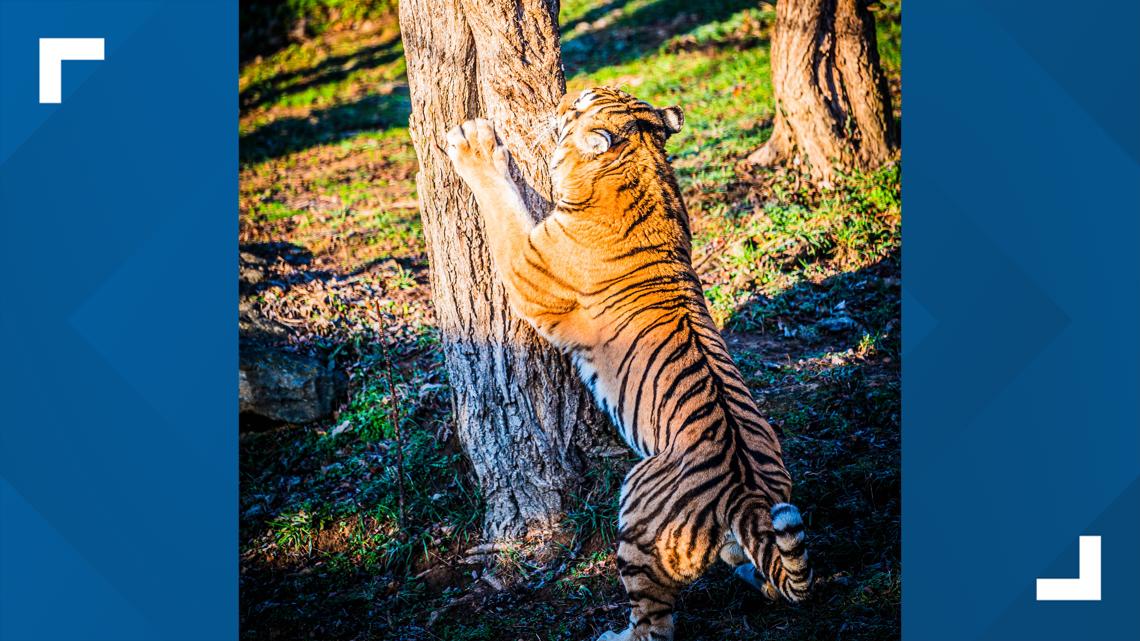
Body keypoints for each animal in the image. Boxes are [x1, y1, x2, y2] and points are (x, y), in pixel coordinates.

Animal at [445, 86, 812, 641]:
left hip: (636, 510)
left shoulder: (526, 268)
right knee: (758, 572)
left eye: (578, 106)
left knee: (655, 625)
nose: (561, 102)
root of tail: (747, 498)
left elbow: (503, 203)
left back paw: (613, 634)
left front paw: (474, 143)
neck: (642, 164)